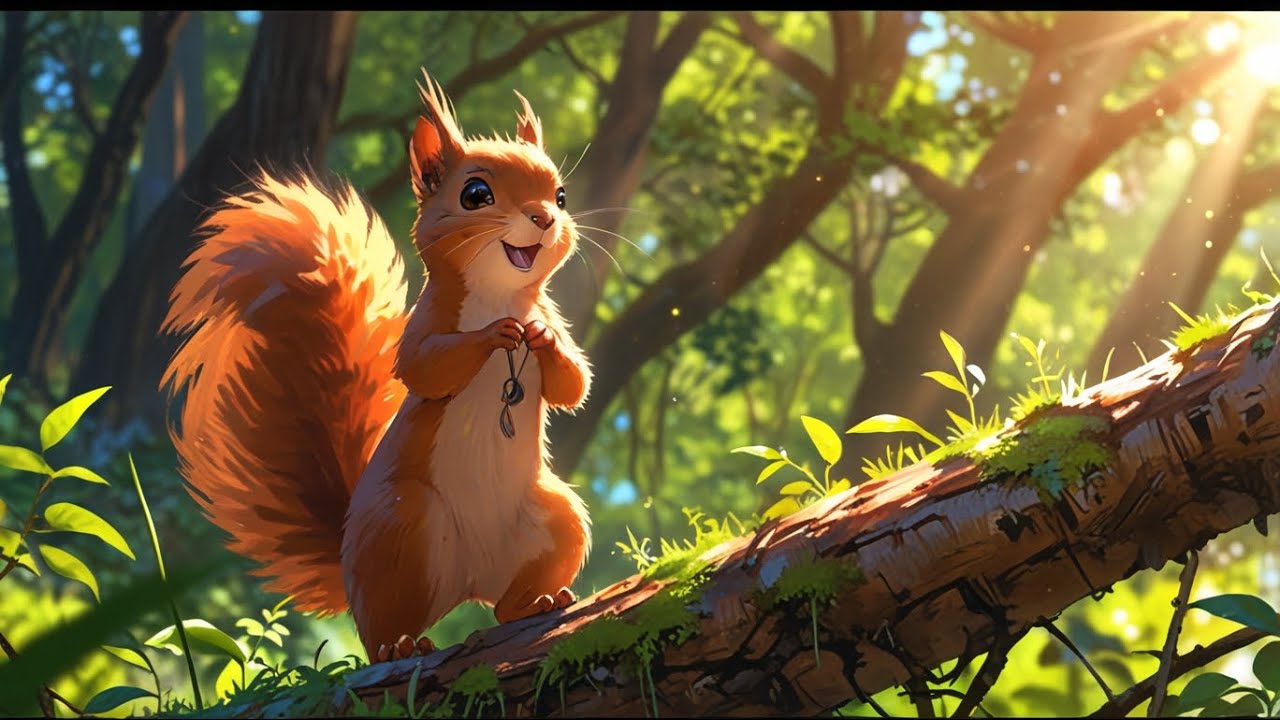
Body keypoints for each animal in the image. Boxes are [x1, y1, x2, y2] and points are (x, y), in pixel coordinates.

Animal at [161, 70, 593, 663]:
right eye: (476, 194)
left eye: (561, 194)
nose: (546, 219)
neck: (499, 295)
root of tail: (469, 585)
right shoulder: (425, 327)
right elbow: (428, 369)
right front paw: (491, 336)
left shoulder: (550, 315)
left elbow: (573, 383)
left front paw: (542, 341)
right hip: (400, 528)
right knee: (382, 628)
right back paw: (400, 646)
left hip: (556, 519)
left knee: (507, 603)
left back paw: (537, 601)